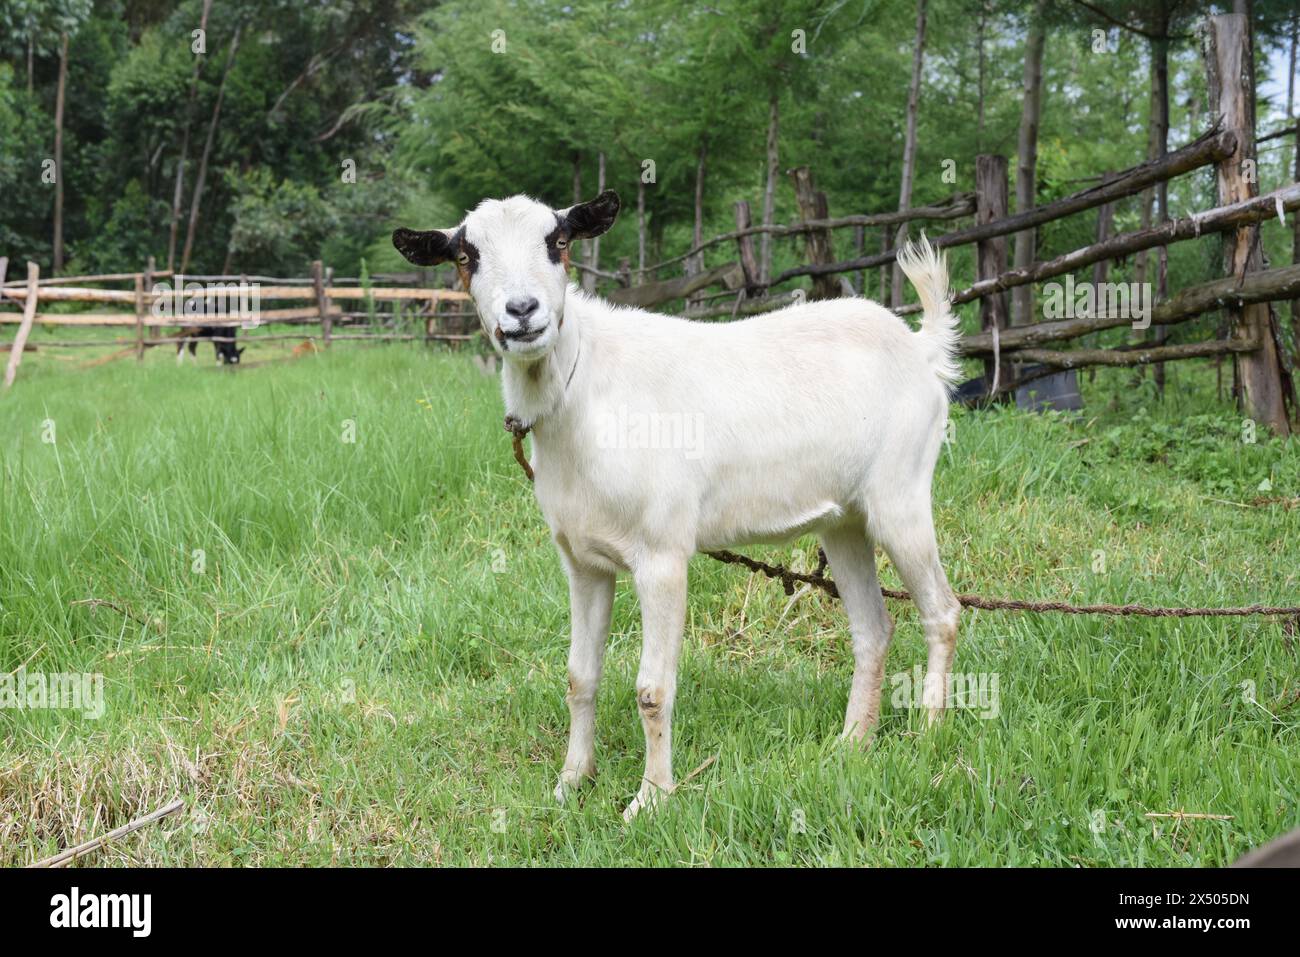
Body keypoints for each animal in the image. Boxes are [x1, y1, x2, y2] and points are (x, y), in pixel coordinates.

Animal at [393, 192, 961, 820]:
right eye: (465, 255)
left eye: (558, 242)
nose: (522, 310)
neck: (581, 391)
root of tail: (922, 348)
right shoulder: (582, 560)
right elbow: (579, 676)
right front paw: (571, 784)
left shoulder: (662, 554)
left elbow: (652, 688)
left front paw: (650, 800)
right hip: (845, 518)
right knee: (872, 629)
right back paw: (852, 744)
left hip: (901, 494)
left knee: (943, 611)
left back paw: (929, 733)